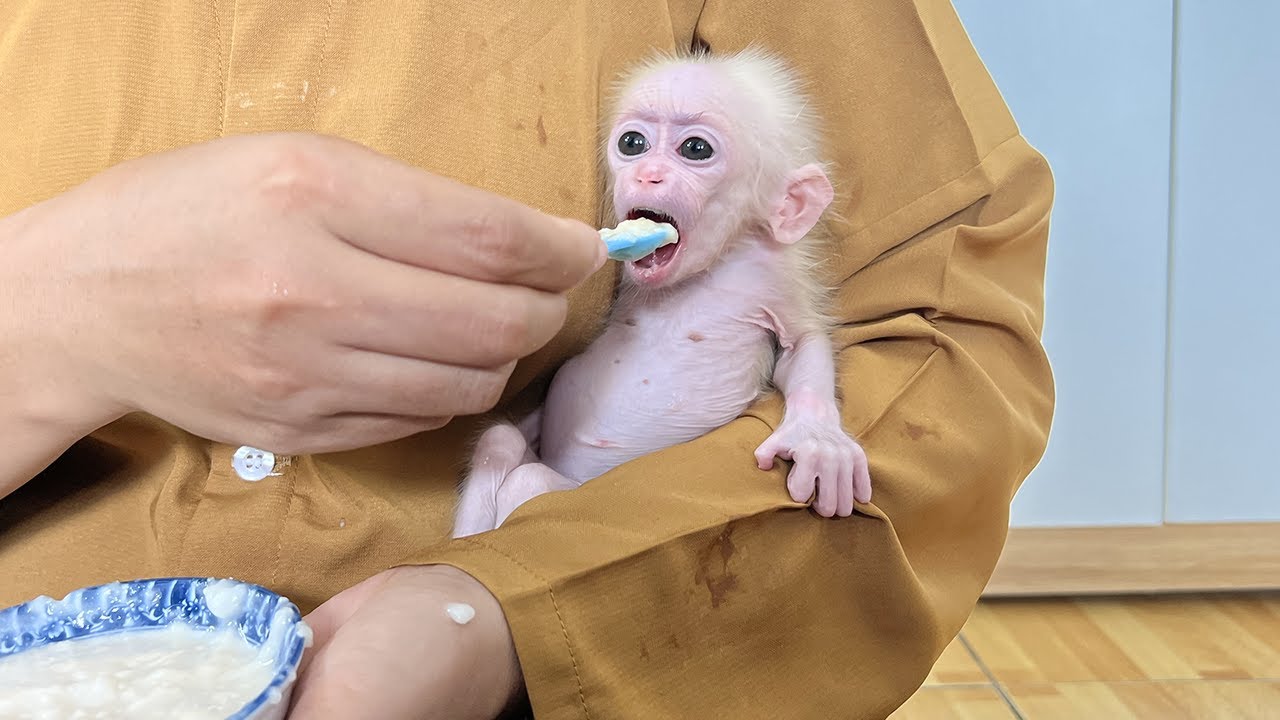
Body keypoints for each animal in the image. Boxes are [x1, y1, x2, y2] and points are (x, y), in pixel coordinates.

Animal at [451, 48, 871, 538]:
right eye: (633, 143)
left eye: (695, 149)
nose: (647, 175)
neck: (704, 270)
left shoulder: (775, 273)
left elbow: (801, 341)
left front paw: (817, 439)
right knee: (500, 440)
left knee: (529, 480)